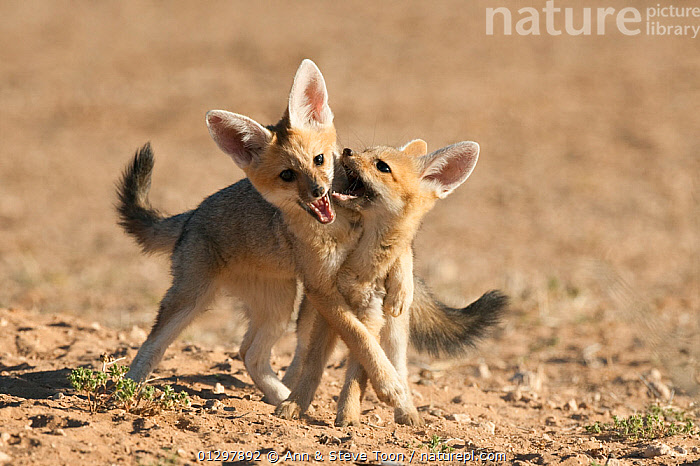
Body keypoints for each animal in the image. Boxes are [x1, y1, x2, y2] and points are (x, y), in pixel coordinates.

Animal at [117, 59, 507, 412]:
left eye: (319, 160)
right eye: (288, 175)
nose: (320, 191)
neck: (345, 233)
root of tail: (194, 213)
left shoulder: (360, 277)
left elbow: (400, 265)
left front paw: (401, 290)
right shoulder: (323, 288)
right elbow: (360, 337)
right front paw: (387, 385)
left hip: (281, 307)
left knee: (251, 352)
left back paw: (282, 395)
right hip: (196, 299)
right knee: (156, 343)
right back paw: (128, 387)